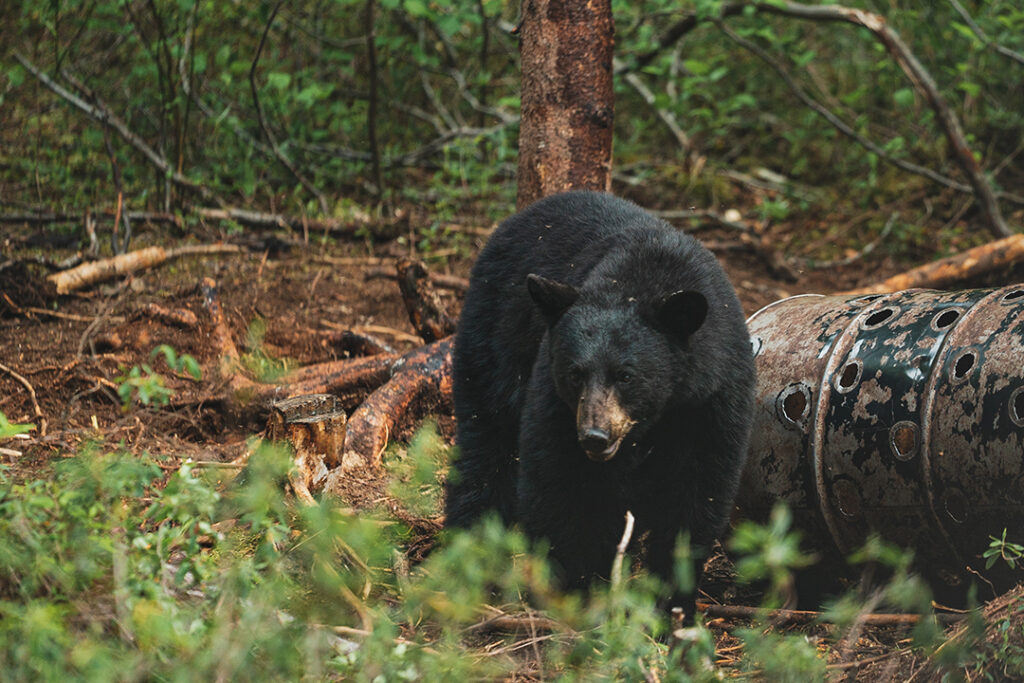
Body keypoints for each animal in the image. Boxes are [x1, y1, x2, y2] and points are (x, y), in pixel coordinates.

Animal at [445, 191, 755, 604]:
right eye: (575, 373)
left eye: (626, 375)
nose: (595, 436)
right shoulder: (554, 398)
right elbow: (558, 485)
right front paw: (577, 591)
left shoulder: (711, 401)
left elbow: (695, 497)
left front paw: (672, 600)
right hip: (494, 339)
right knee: (485, 439)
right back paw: (469, 546)